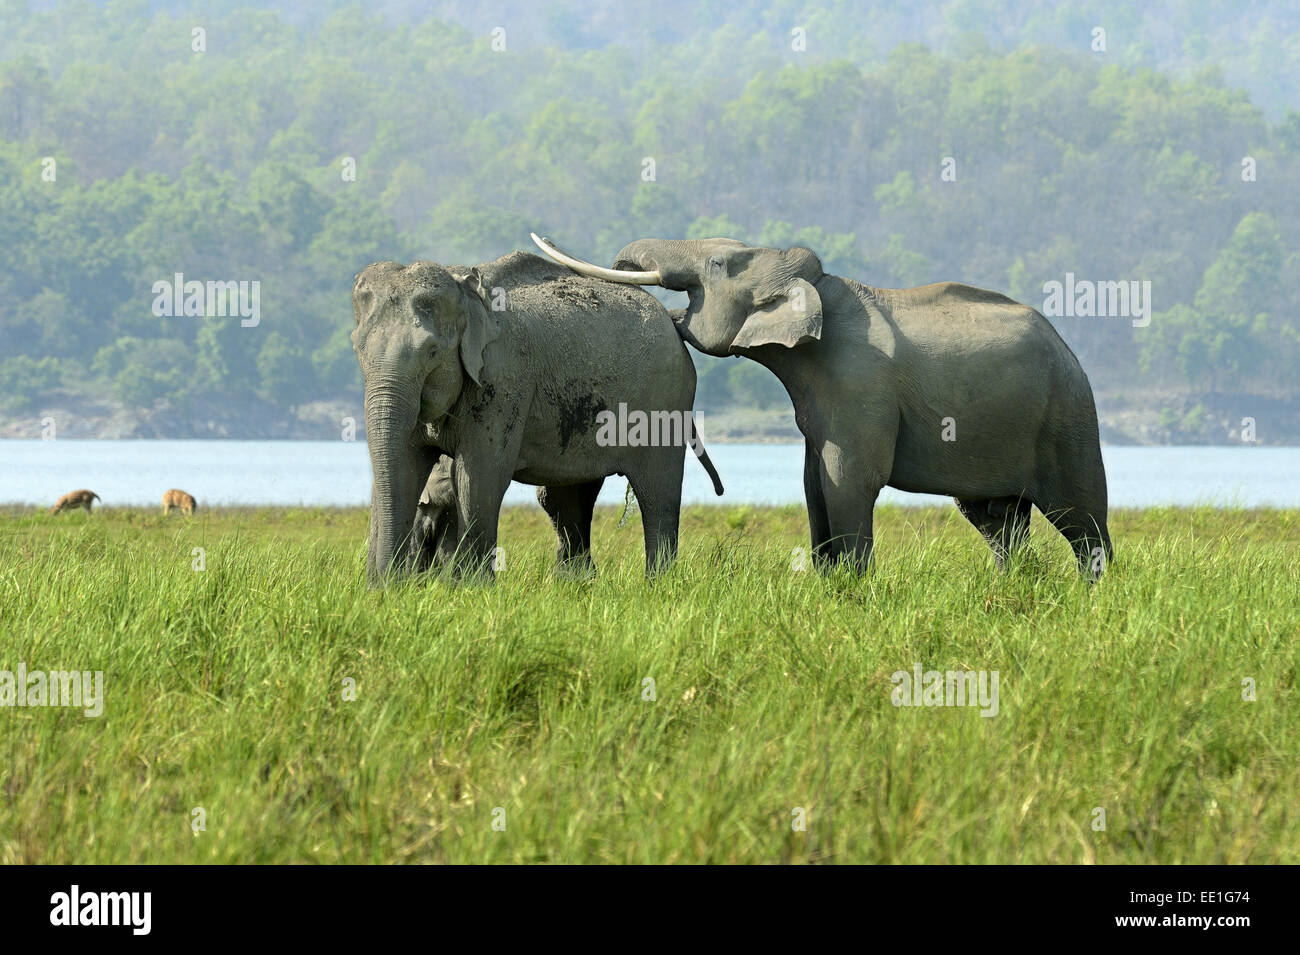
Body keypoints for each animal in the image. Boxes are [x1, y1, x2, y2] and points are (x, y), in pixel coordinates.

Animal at [352, 251, 724, 585]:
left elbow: (478, 476)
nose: (387, 580)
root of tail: (672, 320)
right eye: (357, 348)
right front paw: (385, 590)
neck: (464, 287)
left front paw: (471, 589)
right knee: (566, 497)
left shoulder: (503, 381)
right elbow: (406, 465)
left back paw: (657, 584)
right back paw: (574, 583)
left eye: (431, 352)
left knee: (657, 493)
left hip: (666, 399)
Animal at [532, 233, 1112, 578]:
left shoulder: (858, 389)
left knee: (1081, 515)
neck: (817, 286)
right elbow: (814, 484)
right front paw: (828, 584)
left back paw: (1093, 593)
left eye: (718, 263)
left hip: (1068, 416)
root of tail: (1069, 350)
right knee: (997, 520)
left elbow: (847, 480)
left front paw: (855, 588)